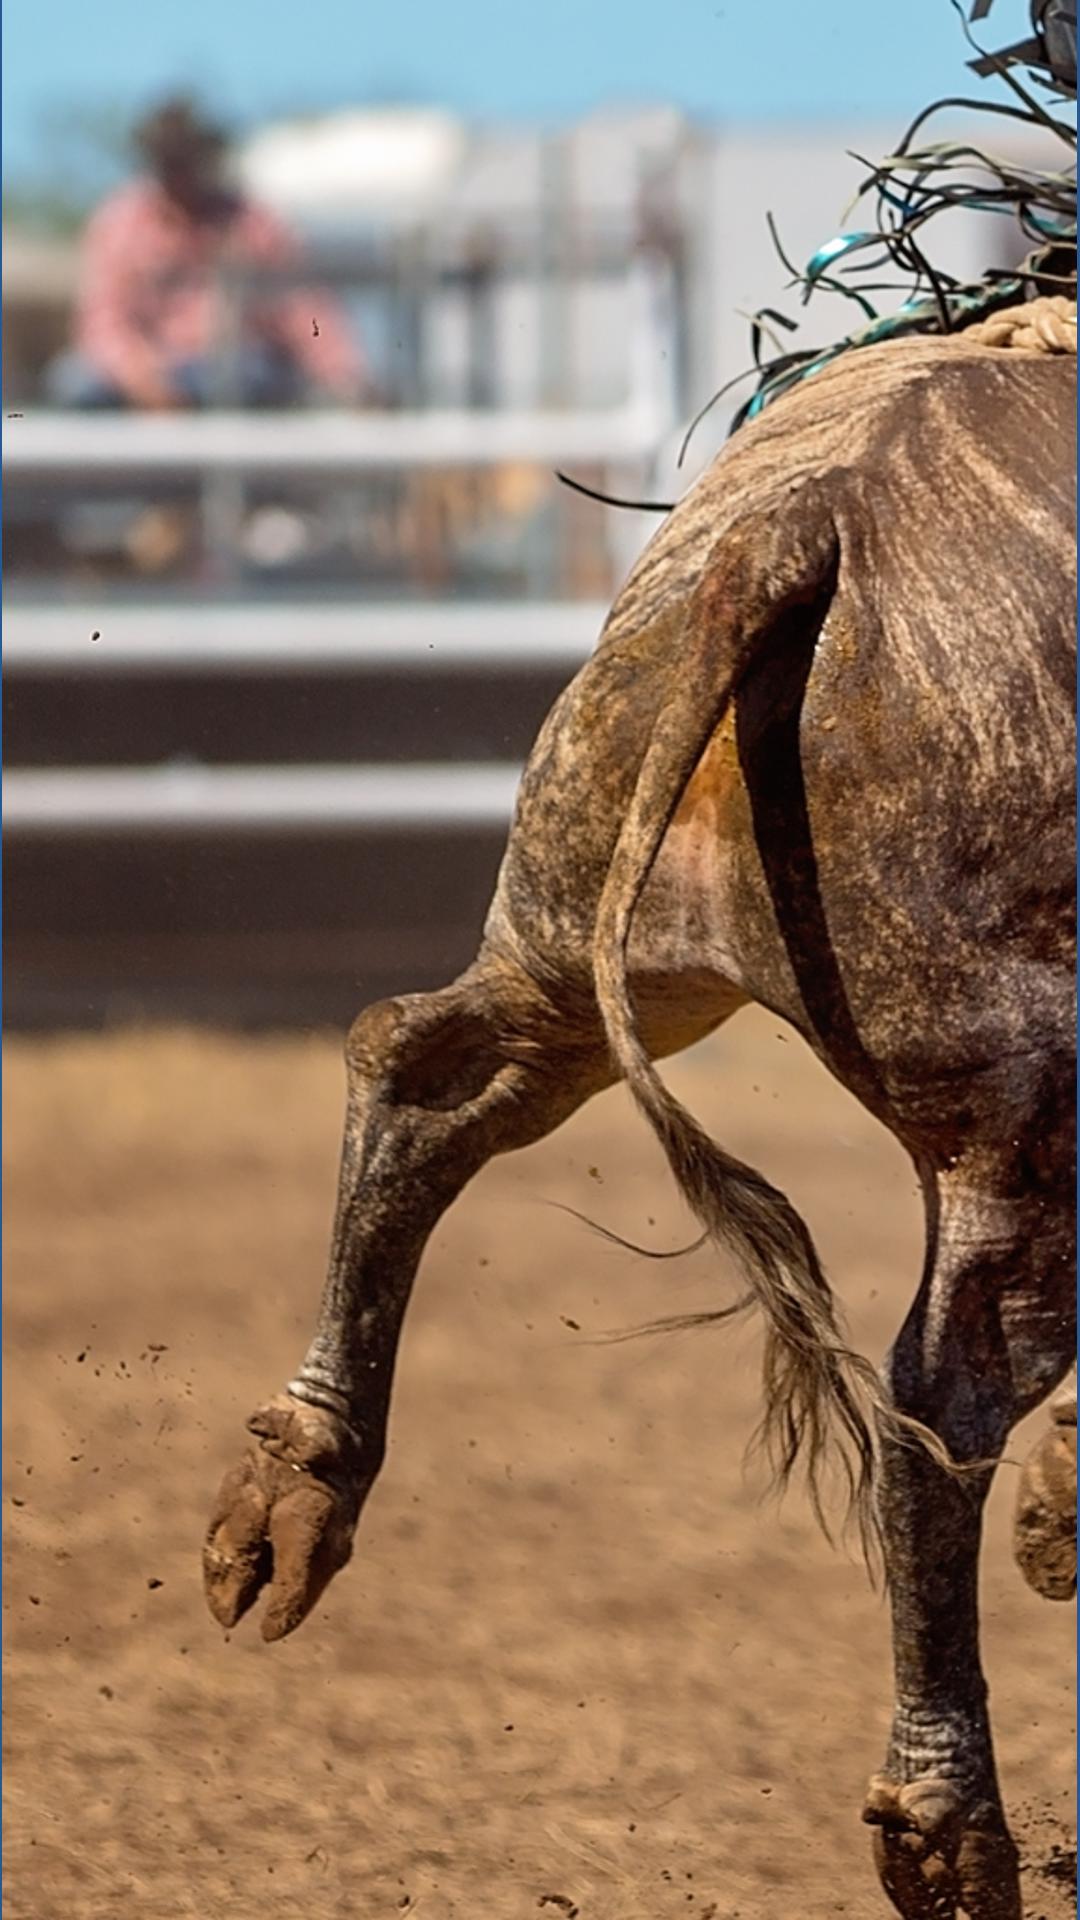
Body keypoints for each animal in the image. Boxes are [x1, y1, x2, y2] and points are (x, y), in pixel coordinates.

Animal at [204, 304, 1077, 1920]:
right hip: (1021, 1120)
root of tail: (798, 533)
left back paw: (292, 1490)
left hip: (580, 922)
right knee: (943, 1403)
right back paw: (948, 1826)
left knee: (418, 1078)